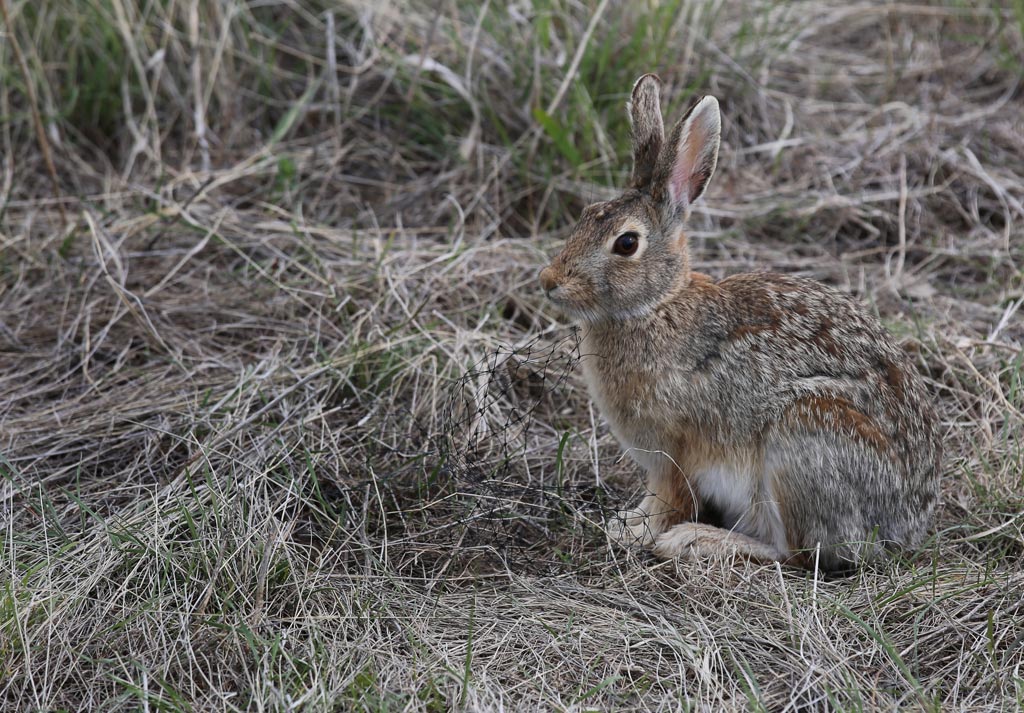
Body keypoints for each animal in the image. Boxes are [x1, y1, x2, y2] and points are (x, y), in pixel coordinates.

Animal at [538, 74, 942, 573]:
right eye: (584, 214)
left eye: (627, 243)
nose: (549, 282)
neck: (657, 306)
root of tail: (906, 527)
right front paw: (625, 524)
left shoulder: (674, 451)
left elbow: (668, 500)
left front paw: (635, 532)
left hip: (802, 443)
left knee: (798, 553)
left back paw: (698, 541)